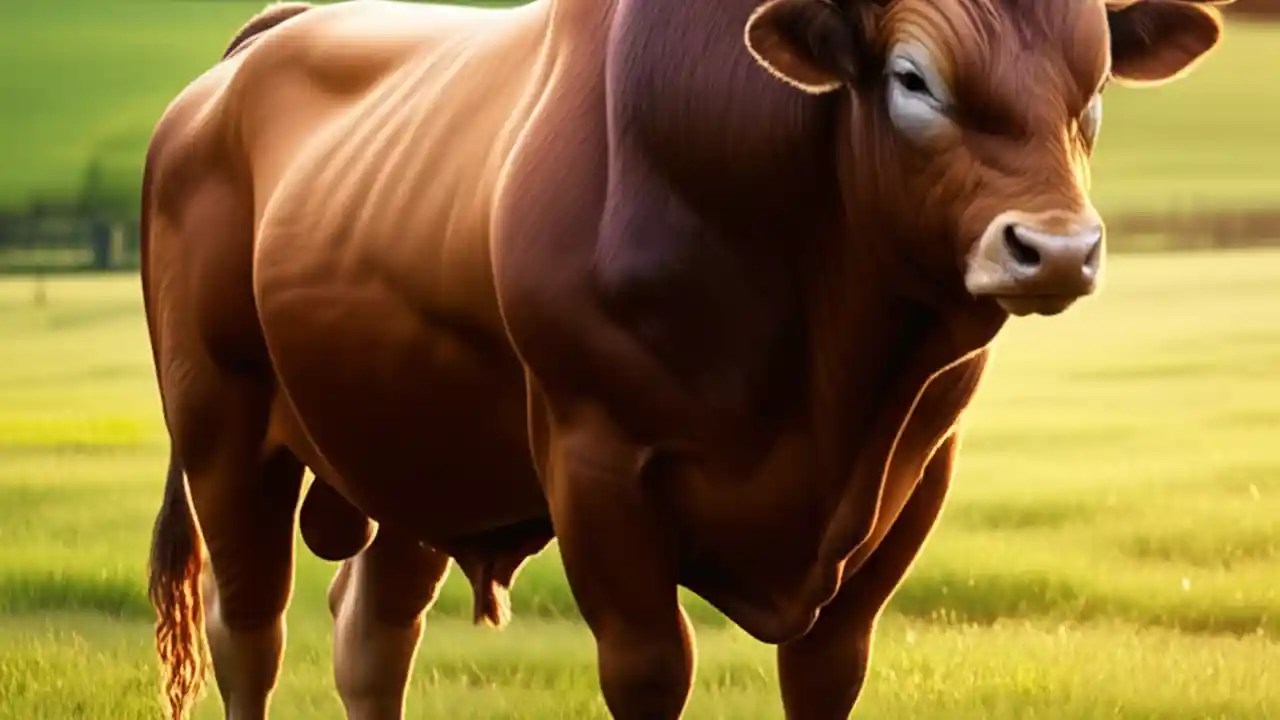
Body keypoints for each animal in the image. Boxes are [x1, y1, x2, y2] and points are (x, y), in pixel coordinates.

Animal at [141, 0, 1227, 717]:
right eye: (913, 78)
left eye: (1092, 86)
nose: (1056, 250)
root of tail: (231, 73)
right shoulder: (598, 468)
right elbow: (652, 668)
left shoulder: (914, 476)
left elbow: (826, 669)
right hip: (221, 428)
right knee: (250, 631)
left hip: (416, 453)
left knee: (369, 633)